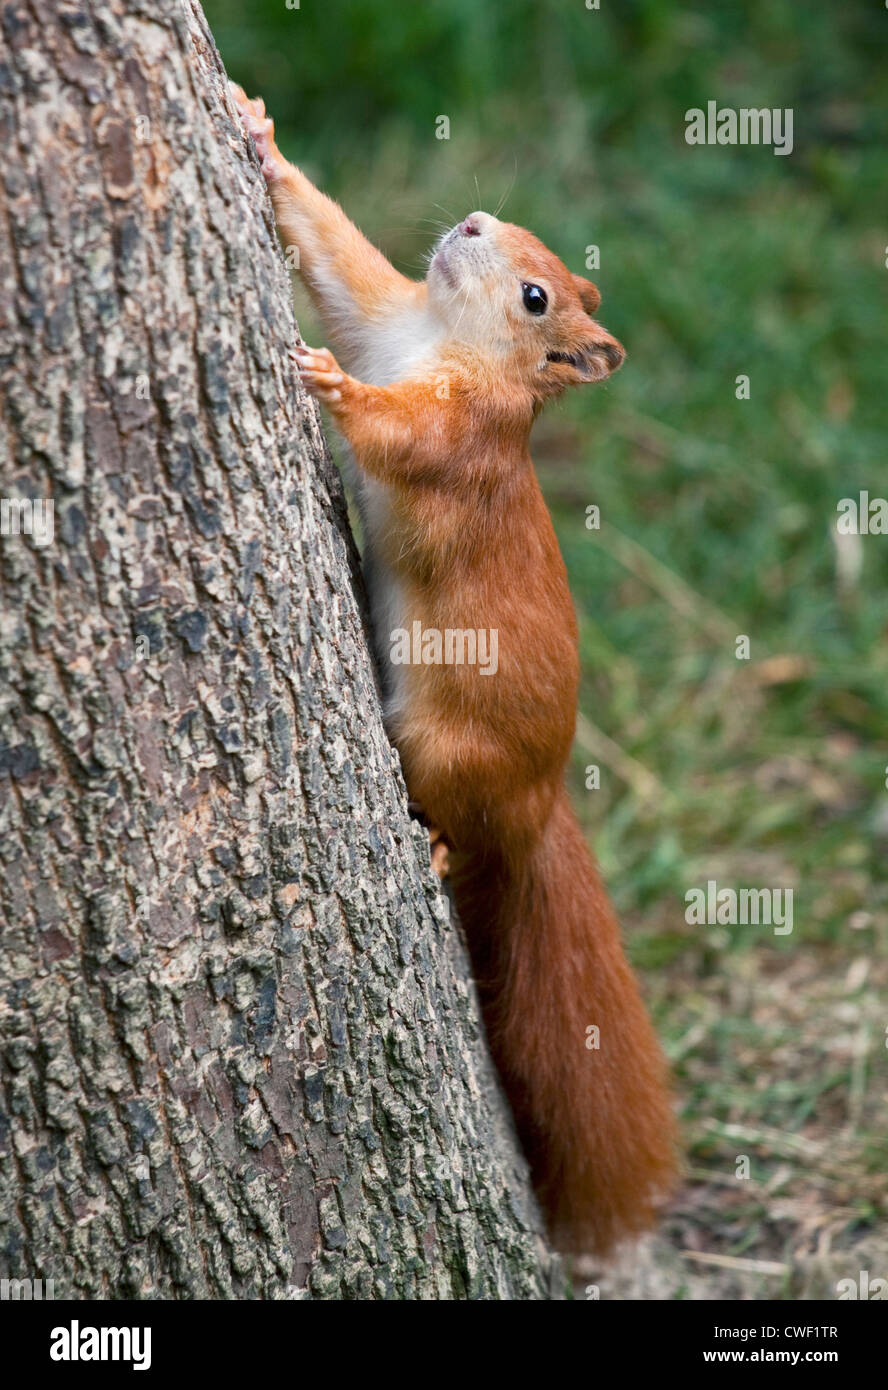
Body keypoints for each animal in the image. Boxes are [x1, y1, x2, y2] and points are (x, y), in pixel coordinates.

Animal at [231, 84, 677, 1255]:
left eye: (535, 295)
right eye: (522, 243)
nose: (474, 221)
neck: (439, 337)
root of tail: (537, 808)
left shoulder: (460, 444)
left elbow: (402, 438)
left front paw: (330, 384)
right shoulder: (385, 311)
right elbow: (336, 255)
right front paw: (261, 136)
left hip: (447, 752)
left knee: (459, 831)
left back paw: (433, 844)